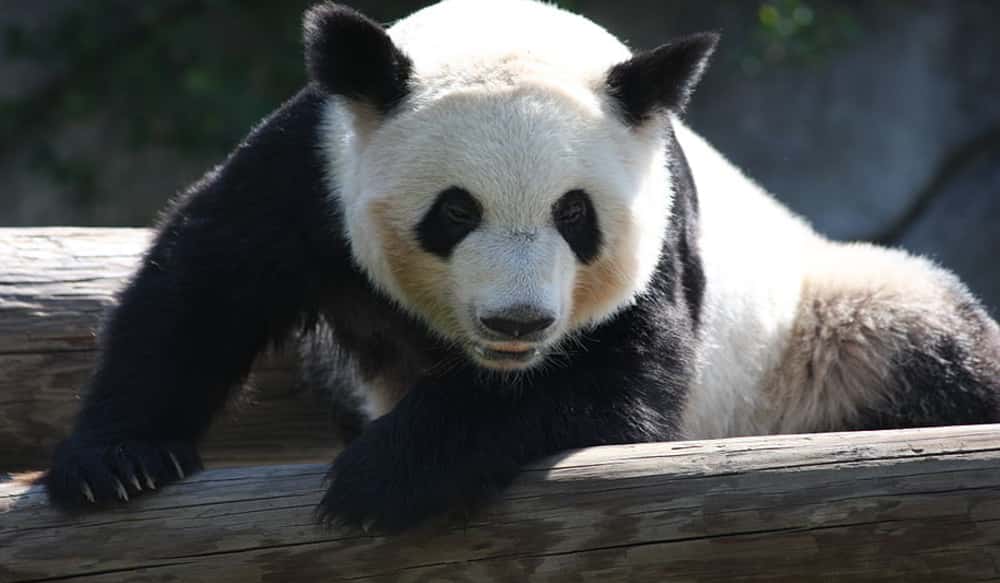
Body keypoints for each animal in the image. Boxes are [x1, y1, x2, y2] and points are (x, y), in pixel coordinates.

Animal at [46, 0, 1000, 532]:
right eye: (454, 211)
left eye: (576, 216)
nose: (518, 322)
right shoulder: (315, 163)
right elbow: (202, 282)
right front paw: (115, 463)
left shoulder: (660, 225)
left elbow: (617, 378)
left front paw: (384, 476)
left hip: (813, 334)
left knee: (923, 342)